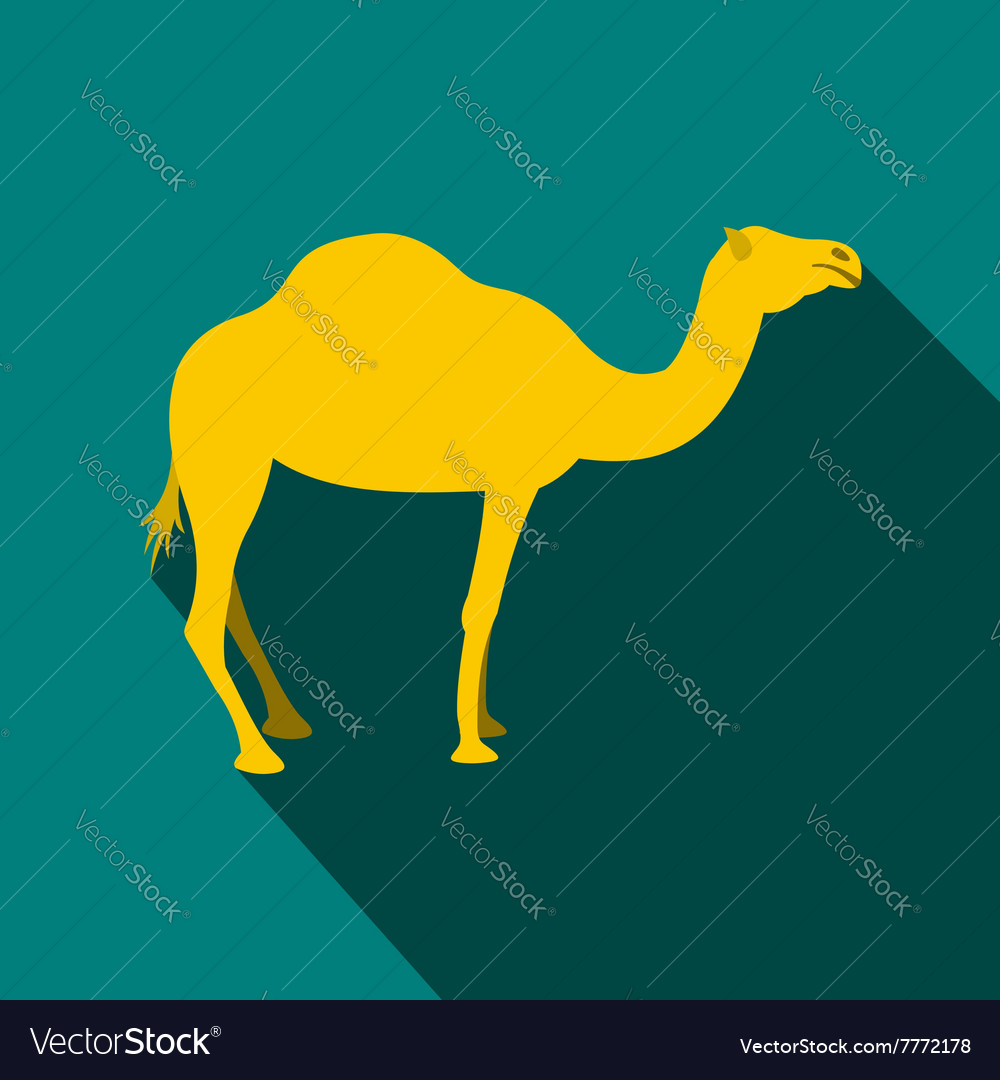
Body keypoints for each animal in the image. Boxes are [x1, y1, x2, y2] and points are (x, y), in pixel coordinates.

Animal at [145, 226, 860, 774]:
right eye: (771, 250)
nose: (847, 258)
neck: (592, 395)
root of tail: (182, 369)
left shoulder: (523, 488)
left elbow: (495, 602)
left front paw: (490, 725)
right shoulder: (509, 481)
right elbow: (479, 605)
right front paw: (470, 747)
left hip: (239, 470)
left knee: (228, 588)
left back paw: (288, 723)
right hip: (226, 459)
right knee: (204, 611)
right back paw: (261, 754)